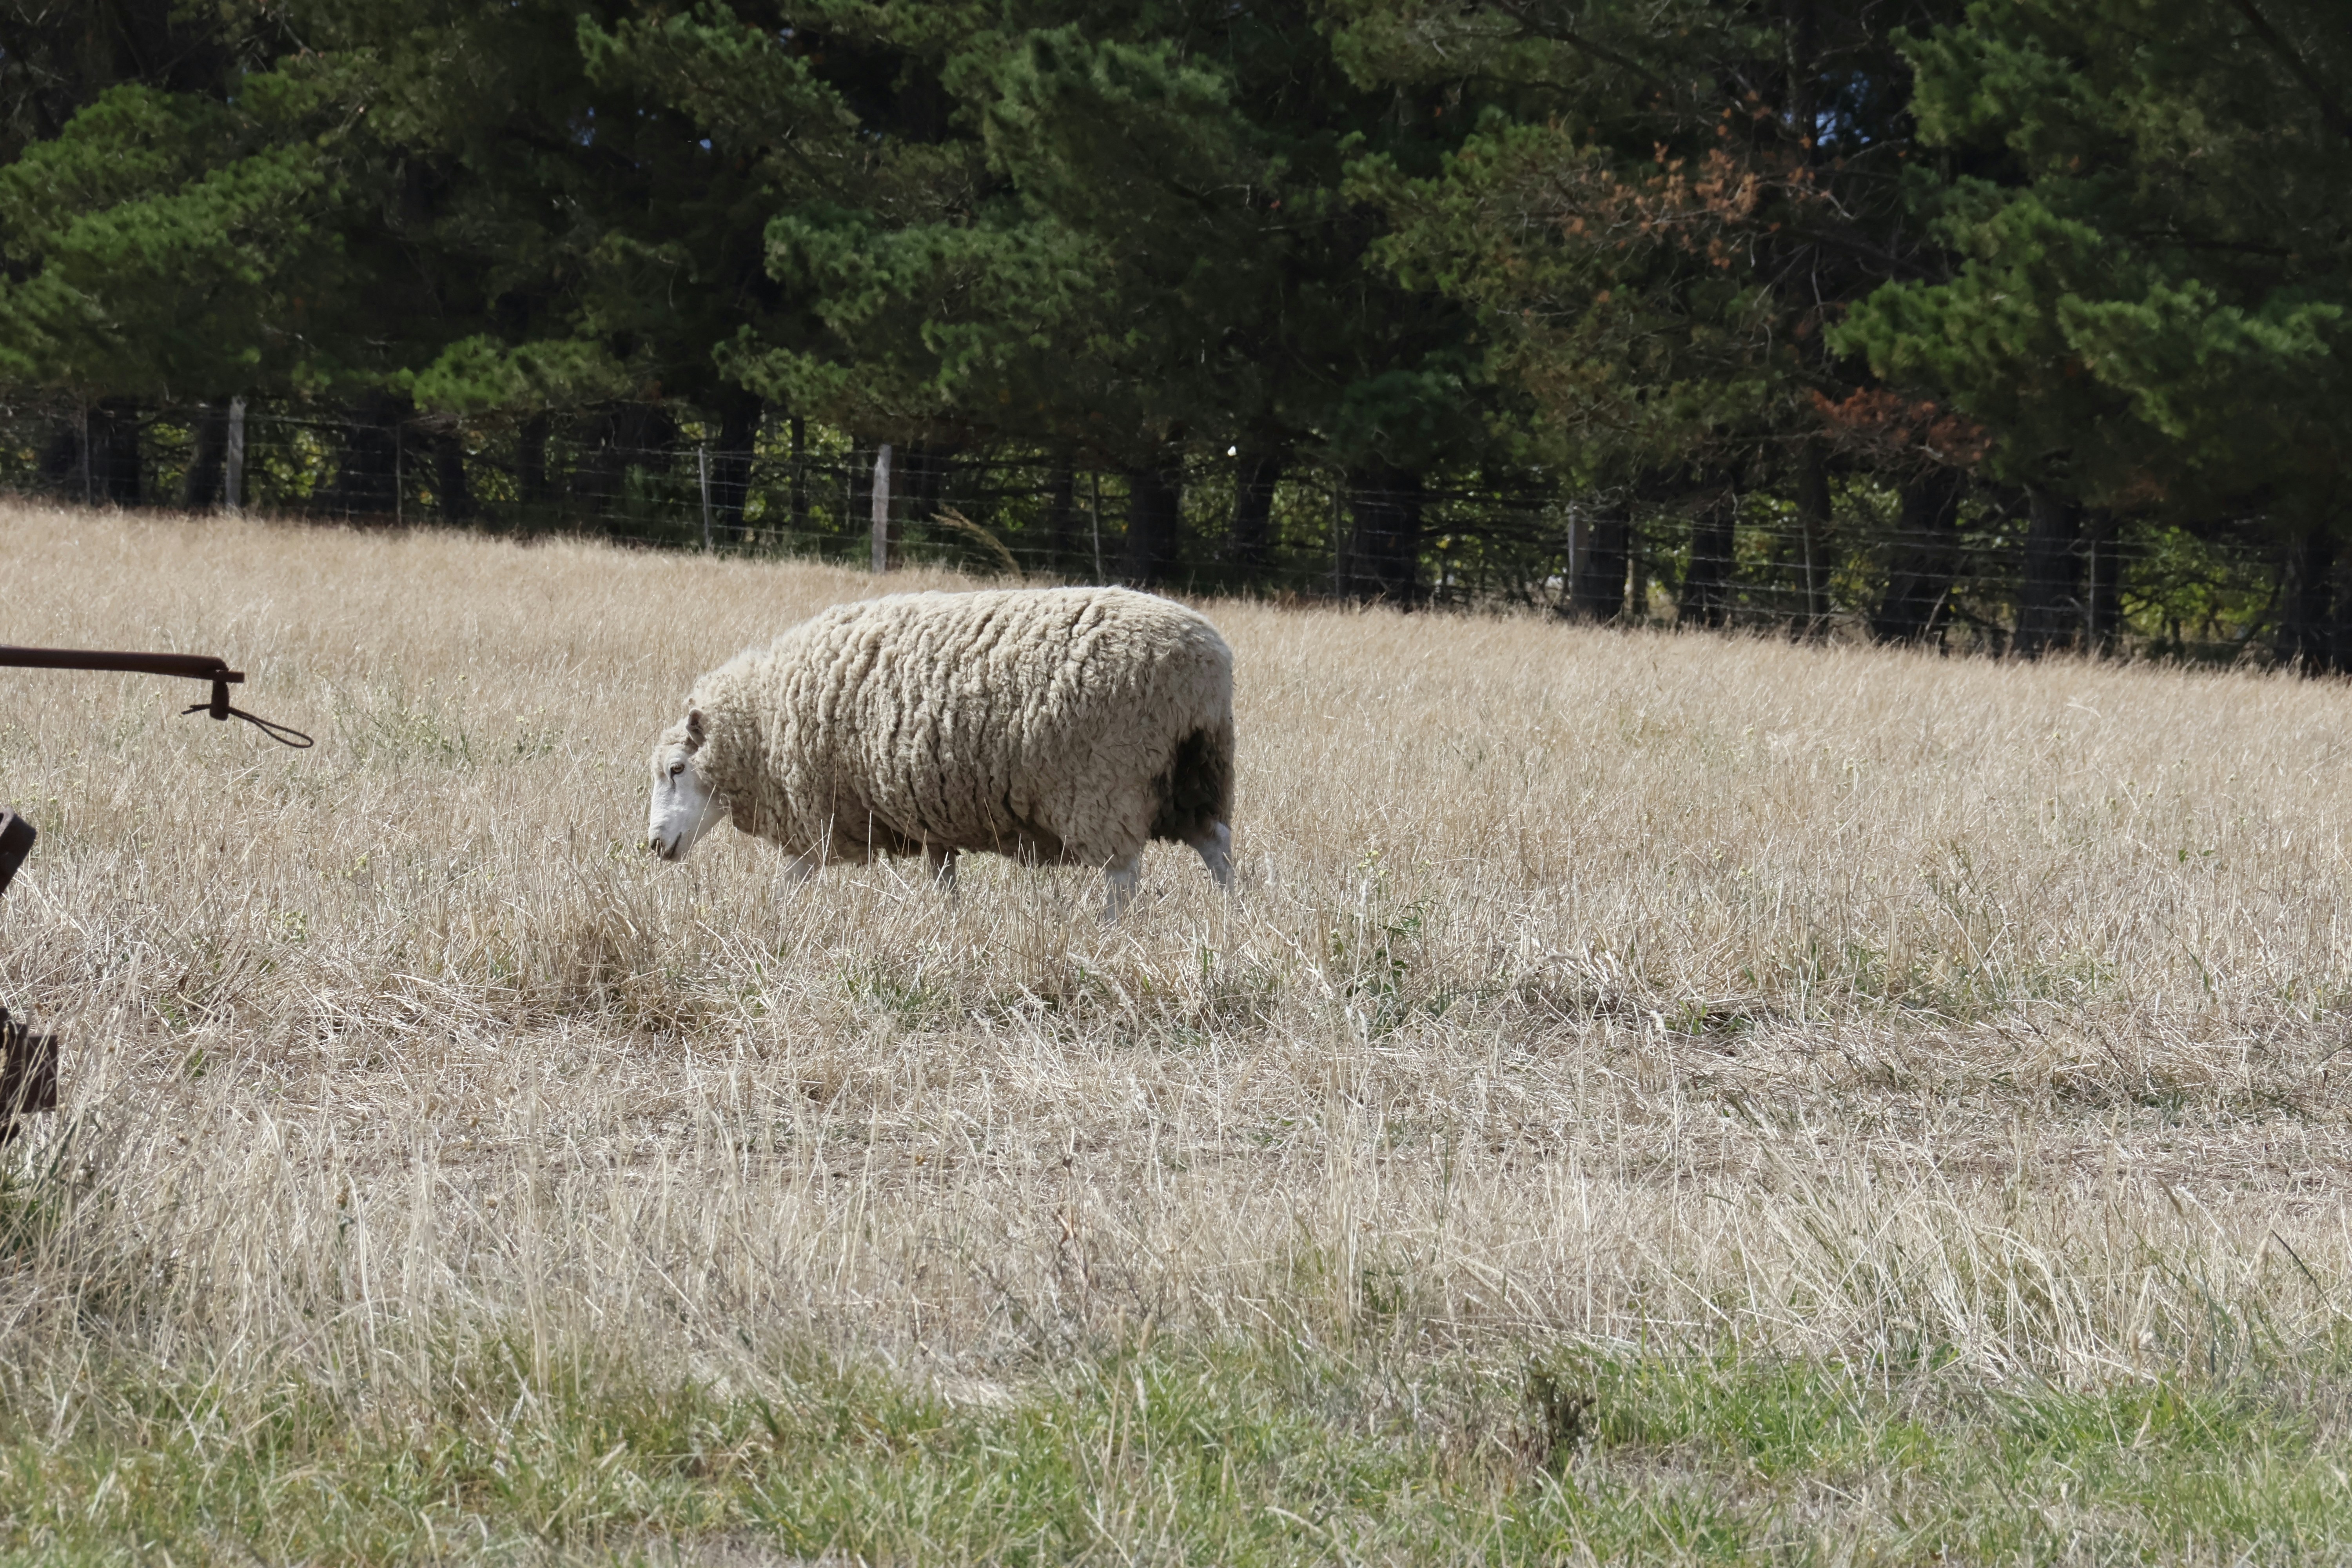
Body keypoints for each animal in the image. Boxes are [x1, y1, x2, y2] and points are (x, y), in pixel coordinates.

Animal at [645, 586, 1235, 915]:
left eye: (676, 769)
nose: (653, 846)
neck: (764, 722)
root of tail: (1206, 664)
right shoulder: (926, 808)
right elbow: (943, 881)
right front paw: (948, 925)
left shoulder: (824, 813)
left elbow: (791, 880)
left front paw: (770, 923)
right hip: (1197, 775)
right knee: (1218, 847)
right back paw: (1236, 919)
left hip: (1107, 783)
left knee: (1124, 876)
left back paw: (1107, 930)